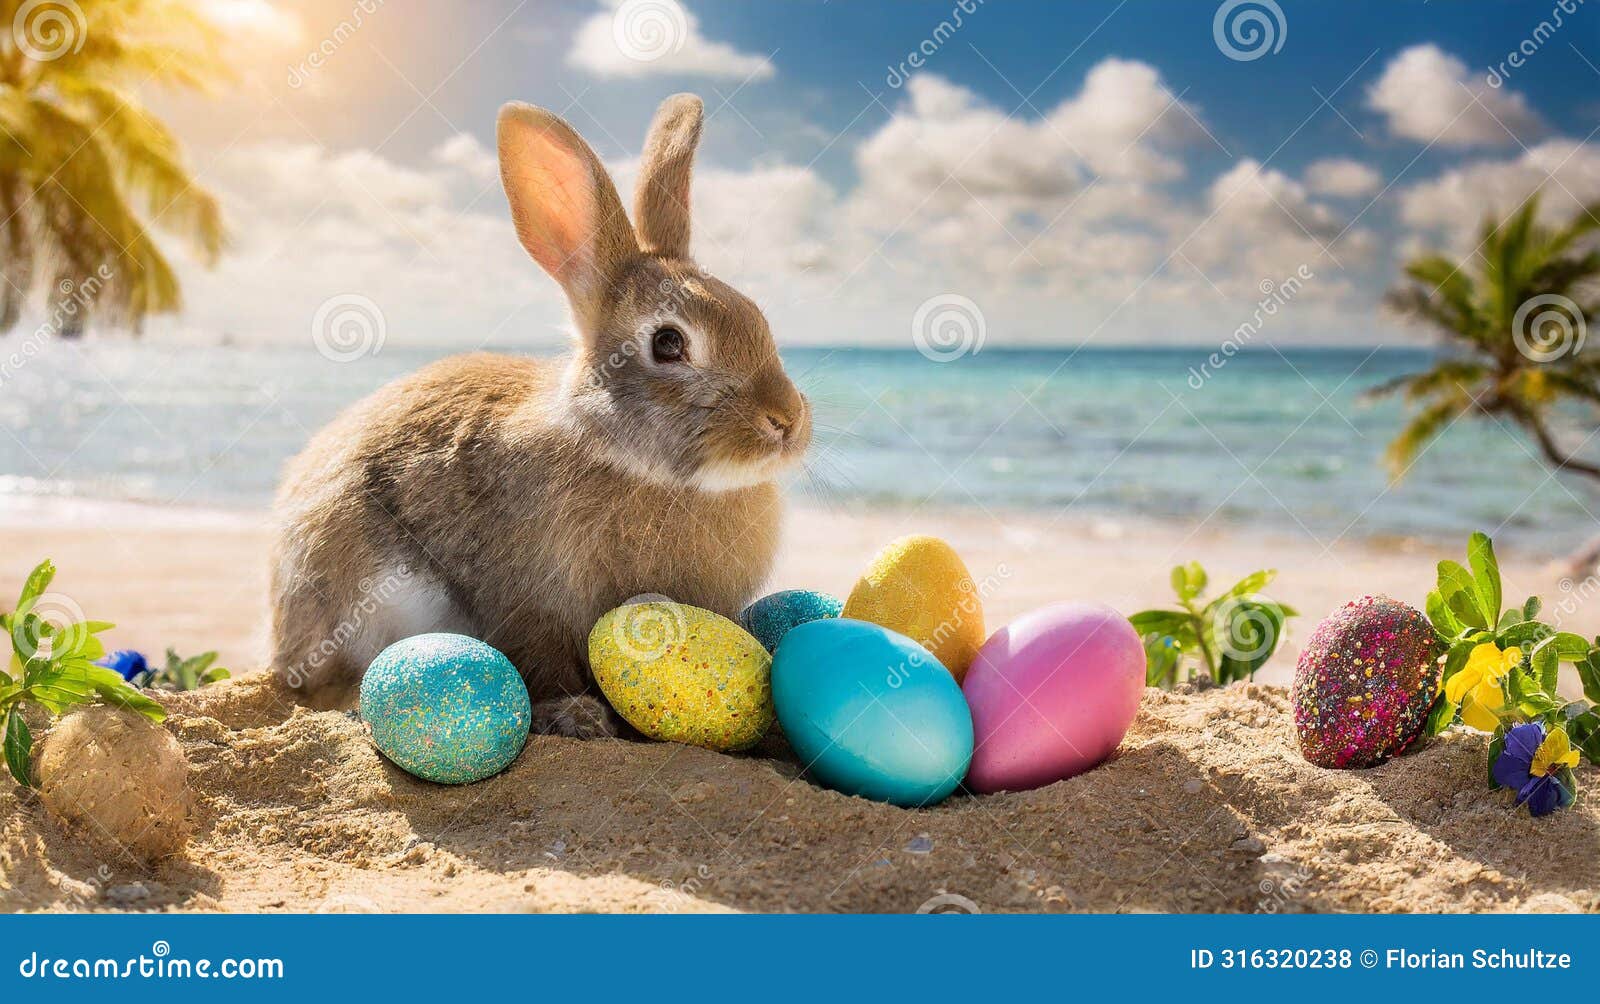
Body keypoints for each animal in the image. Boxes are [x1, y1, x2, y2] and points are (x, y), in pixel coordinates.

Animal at [268, 94, 812, 736]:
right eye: (668, 344)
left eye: (758, 316)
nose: (786, 421)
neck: (629, 460)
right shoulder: (529, 597)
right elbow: (538, 654)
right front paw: (577, 718)